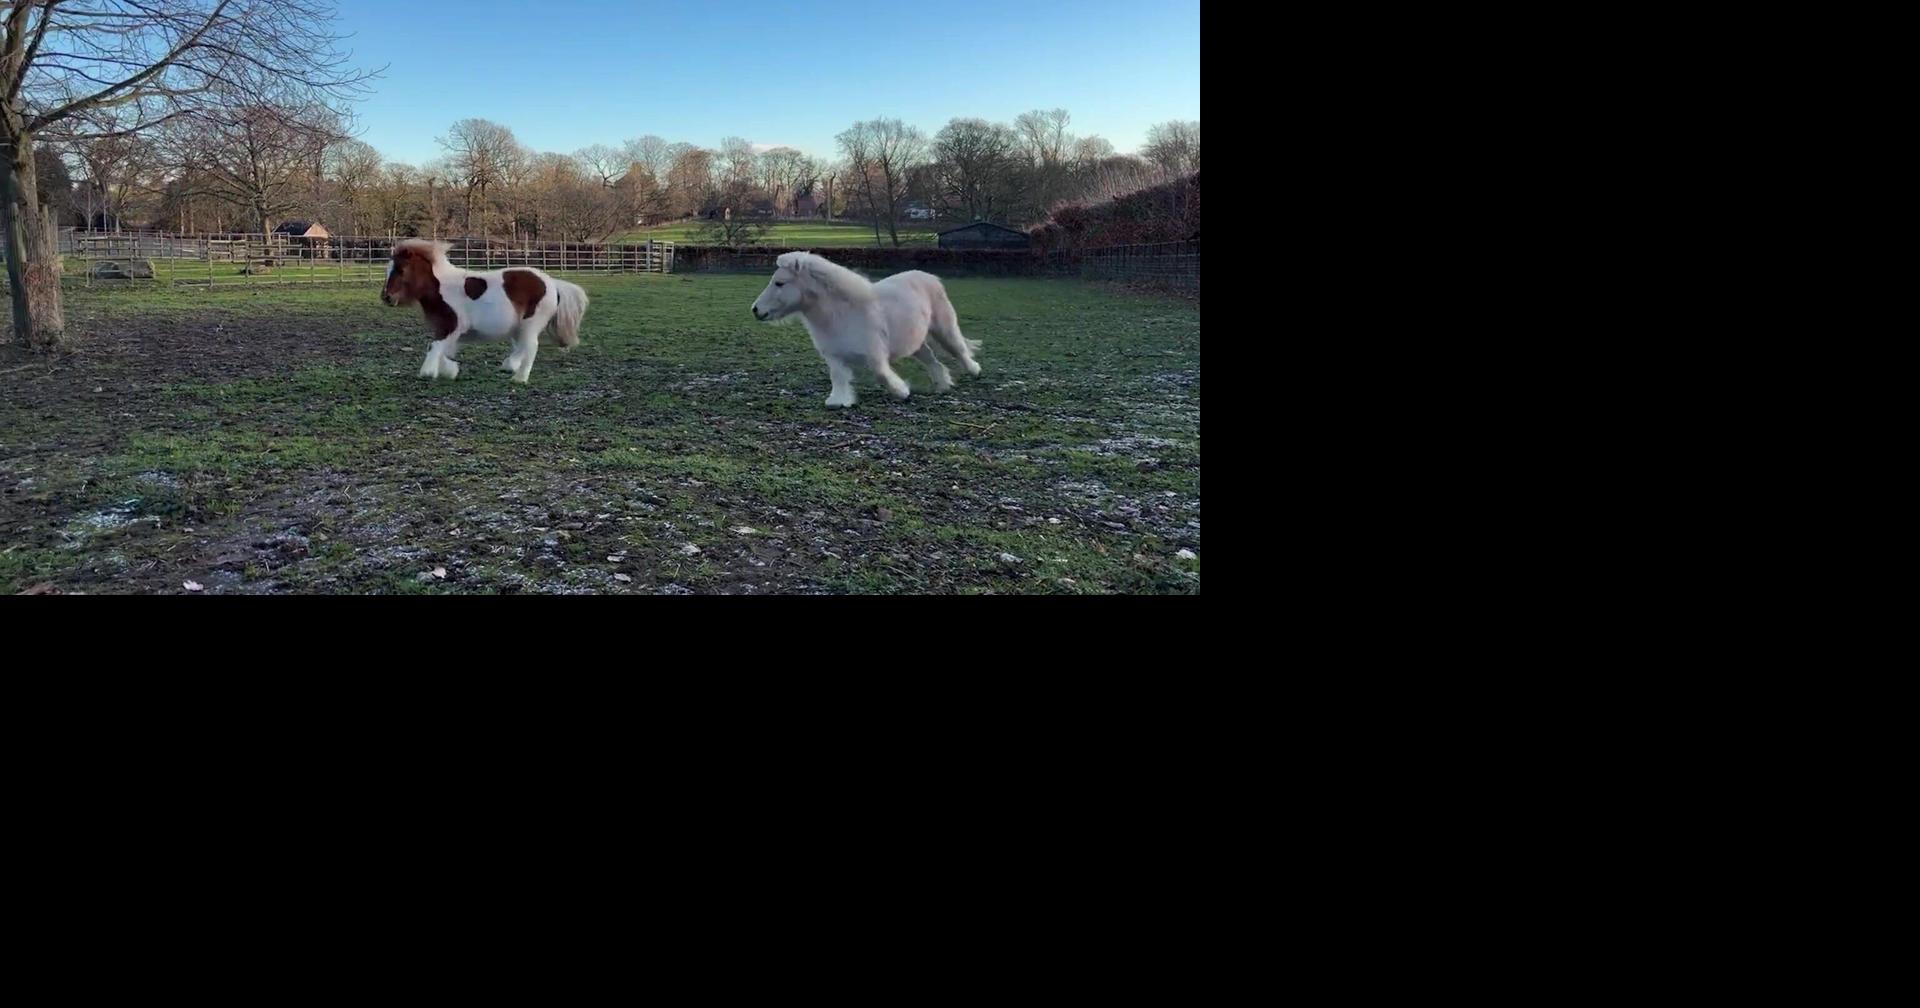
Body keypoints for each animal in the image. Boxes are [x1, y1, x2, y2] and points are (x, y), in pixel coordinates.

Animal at [380, 239, 590, 384]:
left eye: (401, 270)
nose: (386, 297)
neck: (441, 288)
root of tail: (552, 283)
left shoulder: (451, 326)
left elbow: (434, 347)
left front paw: (428, 372)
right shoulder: (450, 331)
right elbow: (443, 351)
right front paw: (451, 371)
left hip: (530, 324)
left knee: (531, 347)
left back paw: (519, 378)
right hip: (518, 328)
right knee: (521, 346)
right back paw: (509, 366)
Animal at [749, 251, 980, 408]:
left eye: (780, 283)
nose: (756, 310)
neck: (843, 312)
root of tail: (930, 277)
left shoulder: (875, 354)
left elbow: (881, 374)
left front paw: (902, 391)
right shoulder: (834, 355)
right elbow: (838, 377)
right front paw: (838, 401)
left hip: (944, 330)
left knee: (959, 350)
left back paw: (974, 370)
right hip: (916, 344)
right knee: (933, 361)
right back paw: (942, 385)